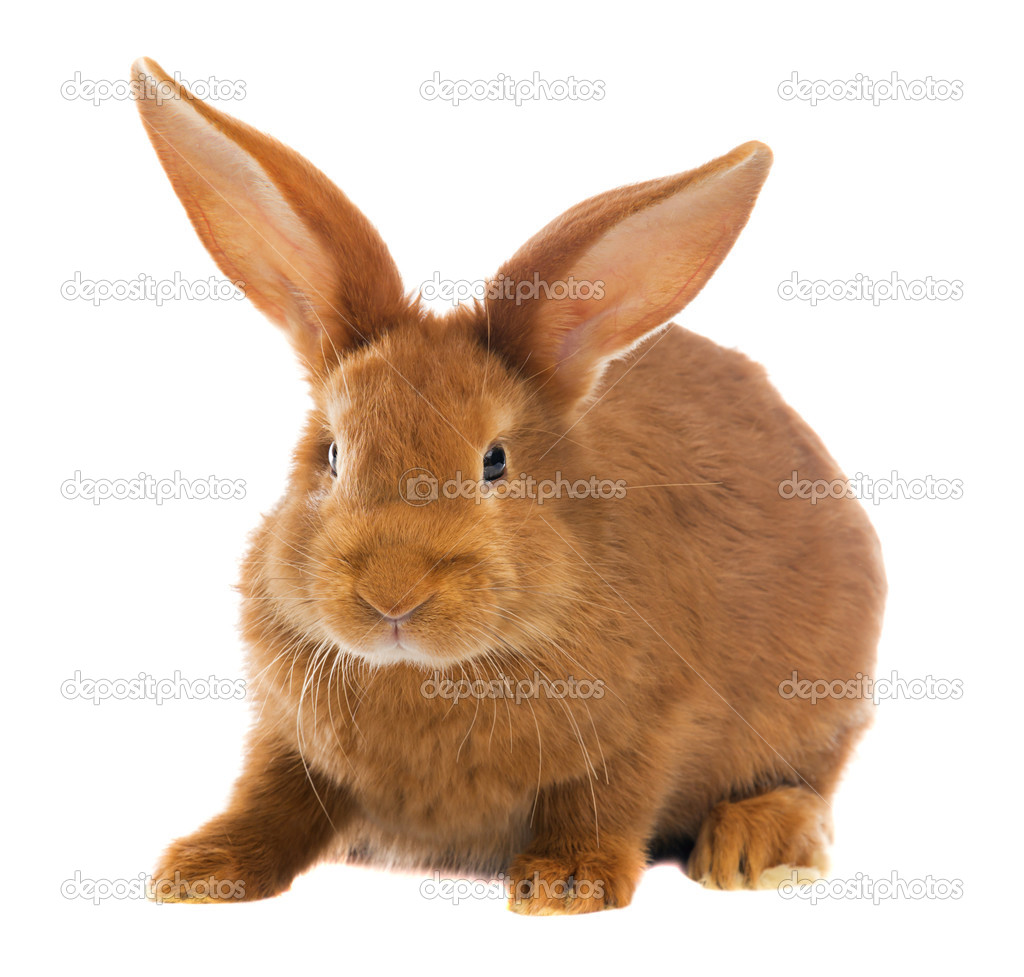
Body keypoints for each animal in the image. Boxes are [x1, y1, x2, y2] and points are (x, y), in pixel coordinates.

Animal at [132, 57, 886, 913]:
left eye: (495, 460)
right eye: (332, 453)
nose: (393, 593)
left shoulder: (655, 725)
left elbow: (606, 798)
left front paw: (565, 882)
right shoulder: (285, 736)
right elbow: (270, 795)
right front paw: (201, 870)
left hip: (825, 698)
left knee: (809, 780)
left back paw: (752, 847)